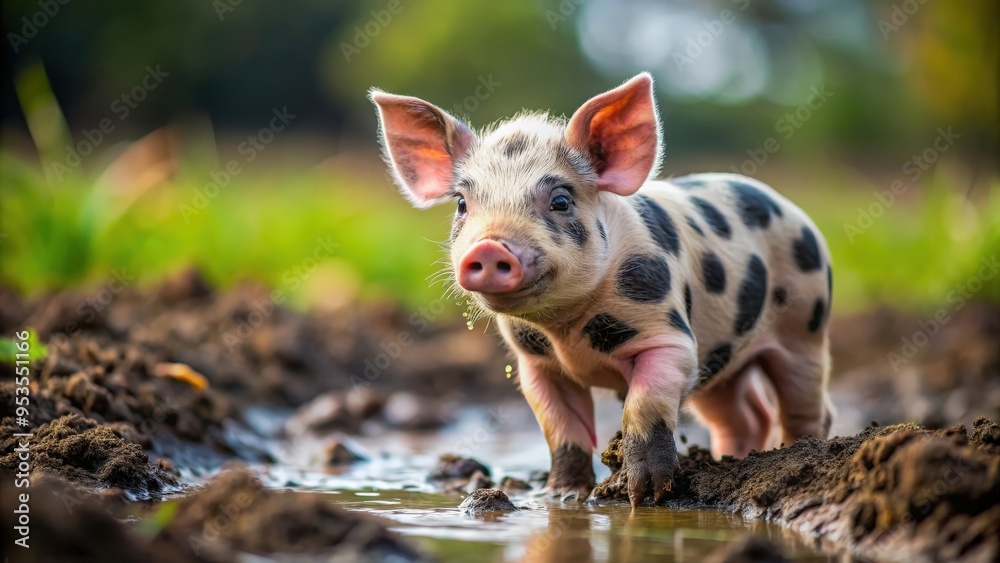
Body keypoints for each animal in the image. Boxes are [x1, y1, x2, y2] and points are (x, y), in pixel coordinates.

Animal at [370, 73, 835, 507]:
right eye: (463, 205)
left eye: (560, 201)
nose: (488, 247)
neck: (568, 332)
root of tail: (786, 205)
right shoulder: (536, 367)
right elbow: (562, 430)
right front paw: (563, 496)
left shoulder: (672, 340)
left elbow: (643, 407)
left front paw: (645, 495)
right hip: (723, 358)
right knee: (743, 415)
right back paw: (730, 461)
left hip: (805, 328)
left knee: (807, 406)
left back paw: (796, 453)